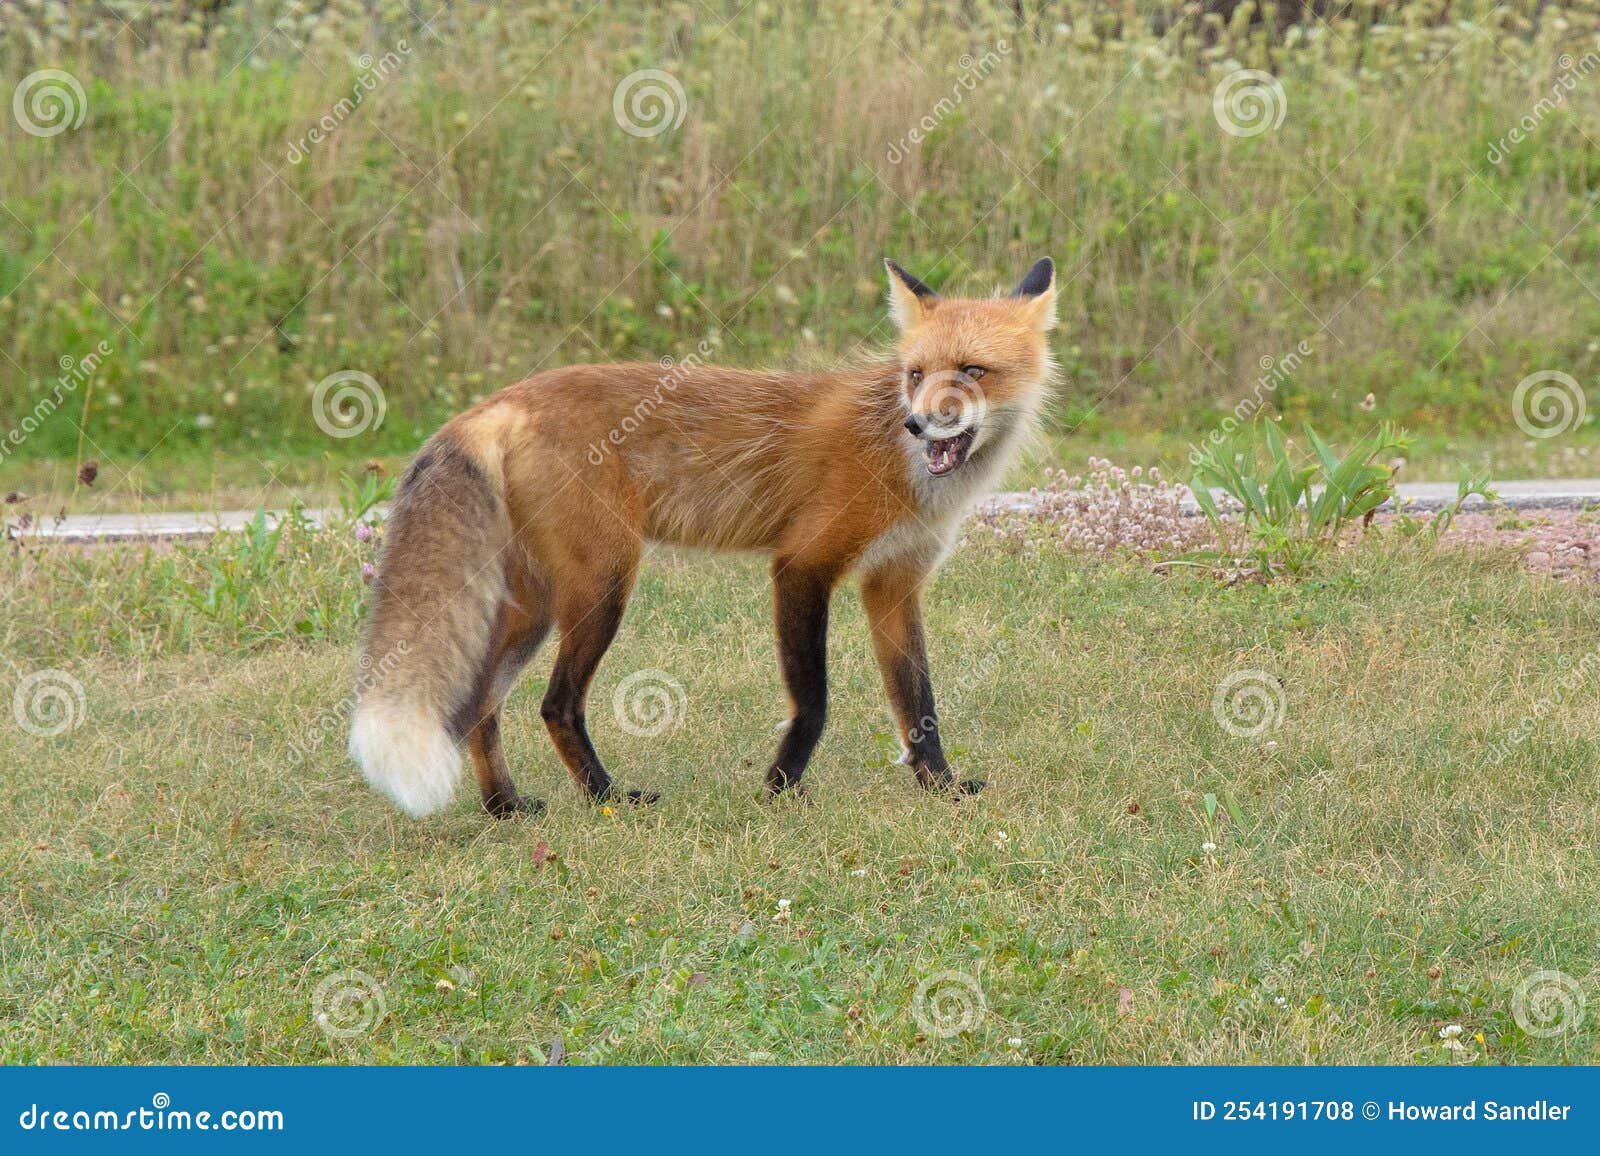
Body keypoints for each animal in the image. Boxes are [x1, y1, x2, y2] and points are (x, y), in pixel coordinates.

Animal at [348, 256, 1058, 818]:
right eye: (915, 374)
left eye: (972, 370)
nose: (917, 424)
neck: (902, 463)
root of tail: (498, 401)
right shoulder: (803, 564)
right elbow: (814, 700)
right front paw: (780, 789)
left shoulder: (893, 583)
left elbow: (919, 703)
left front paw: (939, 787)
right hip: (604, 583)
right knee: (555, 705)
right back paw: (606, 798)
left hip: (539, 604)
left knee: (480, 708)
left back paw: (505, 806)